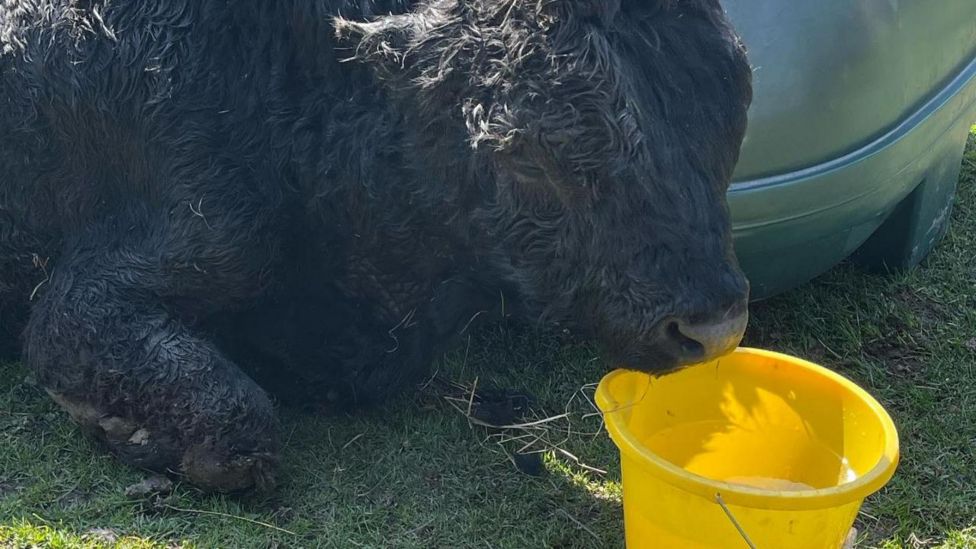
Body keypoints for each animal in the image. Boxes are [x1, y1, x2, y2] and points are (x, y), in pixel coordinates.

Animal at [0, 0, 752, 492]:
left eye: (731, 111)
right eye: (530, 157)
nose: (711, 325)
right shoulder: (104, 286)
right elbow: (239, 425)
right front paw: (122, 429)